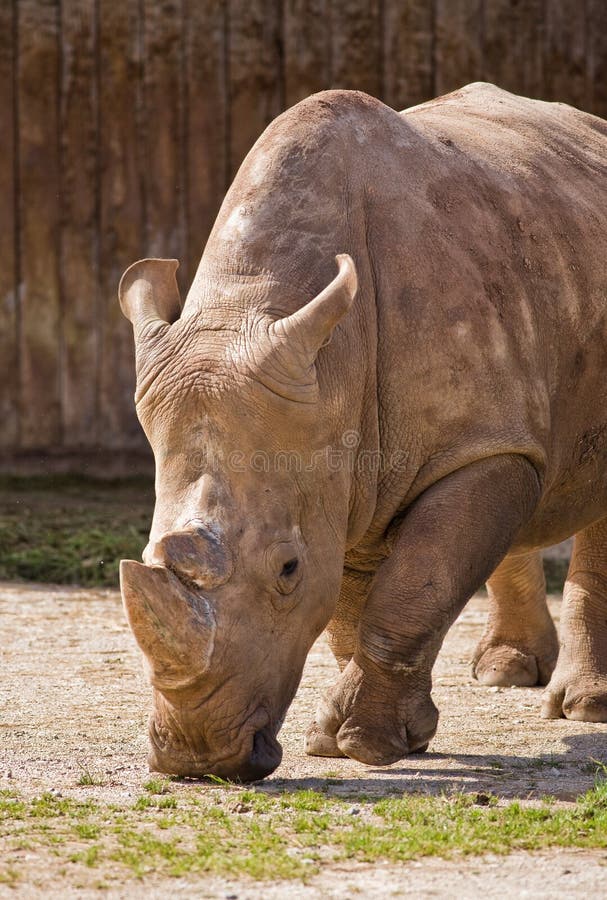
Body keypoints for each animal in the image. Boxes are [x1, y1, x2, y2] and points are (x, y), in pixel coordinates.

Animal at [119, 82, 607, 781]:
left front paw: (365, 744)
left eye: (287, 570)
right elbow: (353, 600)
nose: (198, 760)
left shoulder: (455, 449)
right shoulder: (336, 454)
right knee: (530, 467)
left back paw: (585, 708)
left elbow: (411, 590)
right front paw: (363, 735)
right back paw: (505, 674)